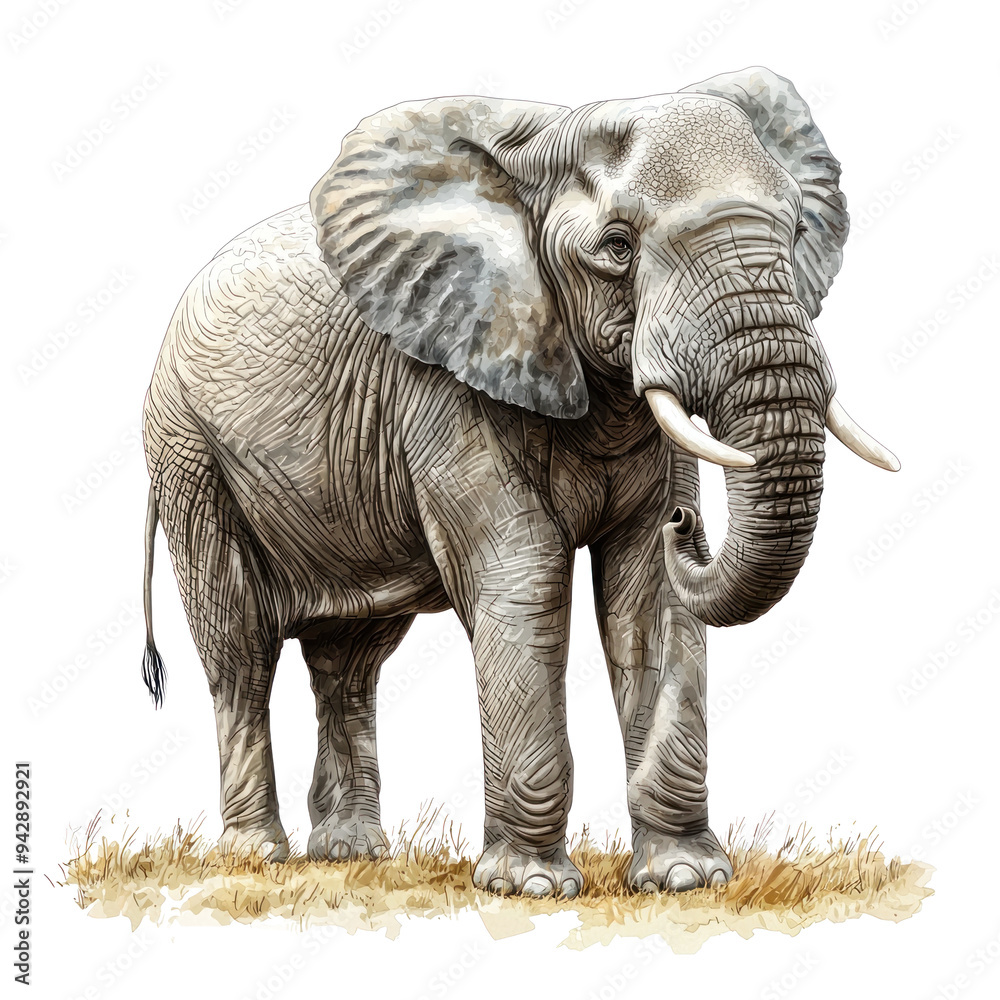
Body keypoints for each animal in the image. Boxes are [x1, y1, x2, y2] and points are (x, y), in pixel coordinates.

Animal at [141, 65, 898, 898]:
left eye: (795, 232)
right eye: (616, 247)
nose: (689, 525)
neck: (541, 146)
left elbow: (648, 593)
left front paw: (683, 877)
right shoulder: (445, 377)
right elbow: (523, 575)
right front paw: (530, 887)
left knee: (350, 659)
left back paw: (351, 853)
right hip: (187, 453)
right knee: (238, 646)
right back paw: (258, 855)